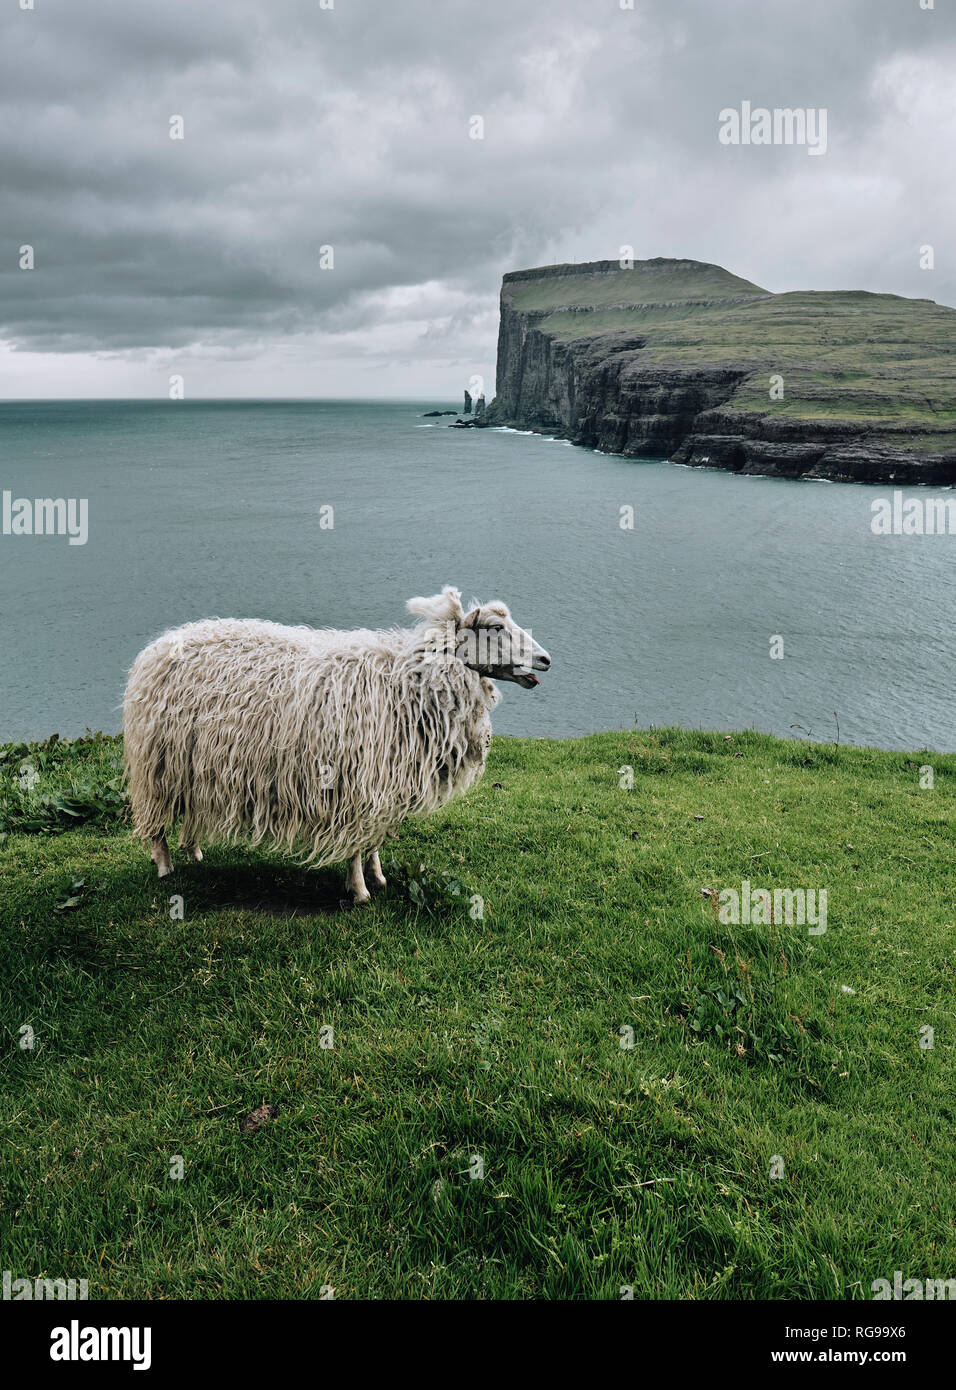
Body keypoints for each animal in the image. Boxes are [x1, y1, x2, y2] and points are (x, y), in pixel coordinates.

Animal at [122, 583, 550, 900]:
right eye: (495, 629)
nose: (546, 659)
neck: (406, 684)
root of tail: (158, 645)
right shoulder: (356, 783)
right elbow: (358, 842)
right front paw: (359, 890)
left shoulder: (384, 781)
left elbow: (374, 838)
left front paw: (378, 877)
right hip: (156, 762)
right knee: (156, 823)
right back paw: (165, 868)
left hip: (190, 764)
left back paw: (193, 850)